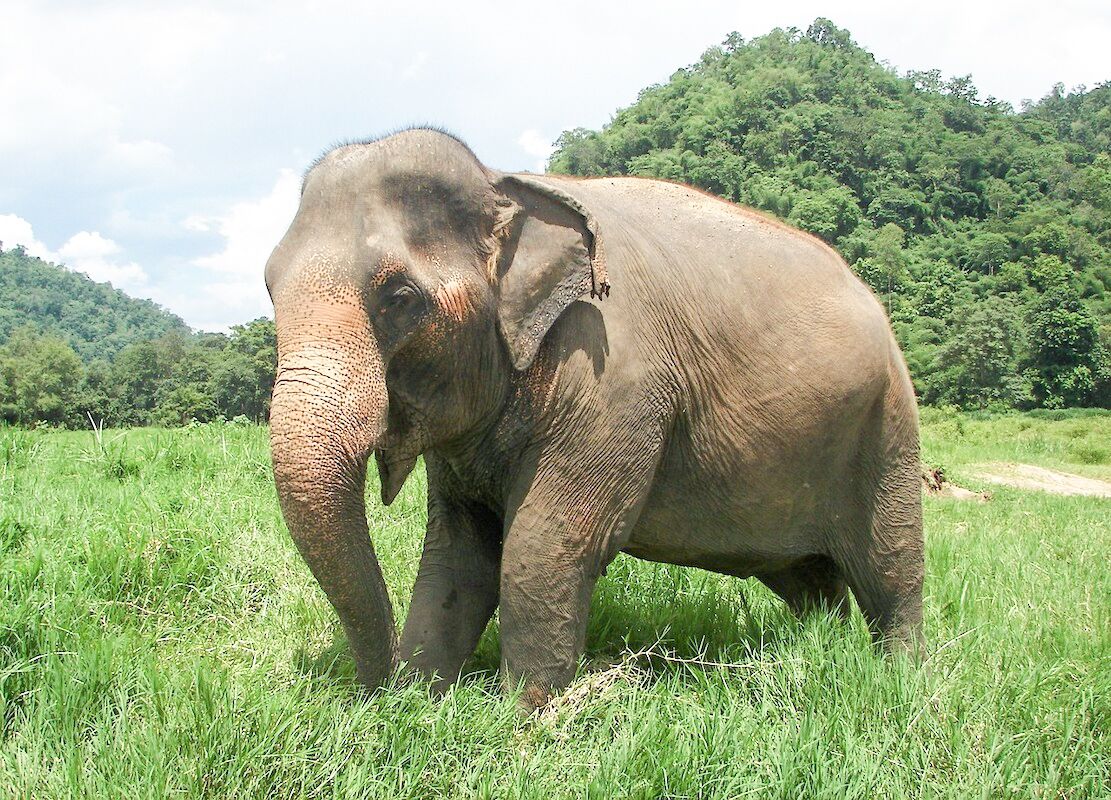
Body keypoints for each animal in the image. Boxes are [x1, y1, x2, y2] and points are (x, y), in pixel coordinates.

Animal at [265, 127, 923, 710]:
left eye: (400, 298)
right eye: (269, 289)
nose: (369, 694)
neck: (504, 182)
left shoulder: (615, 381)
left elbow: (543, 546)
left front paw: (522, 721)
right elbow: (458, 552)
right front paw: (420, 704)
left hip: (888, 424)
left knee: (892, 568)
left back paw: (901, 678)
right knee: (810, 579)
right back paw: (820, 649)